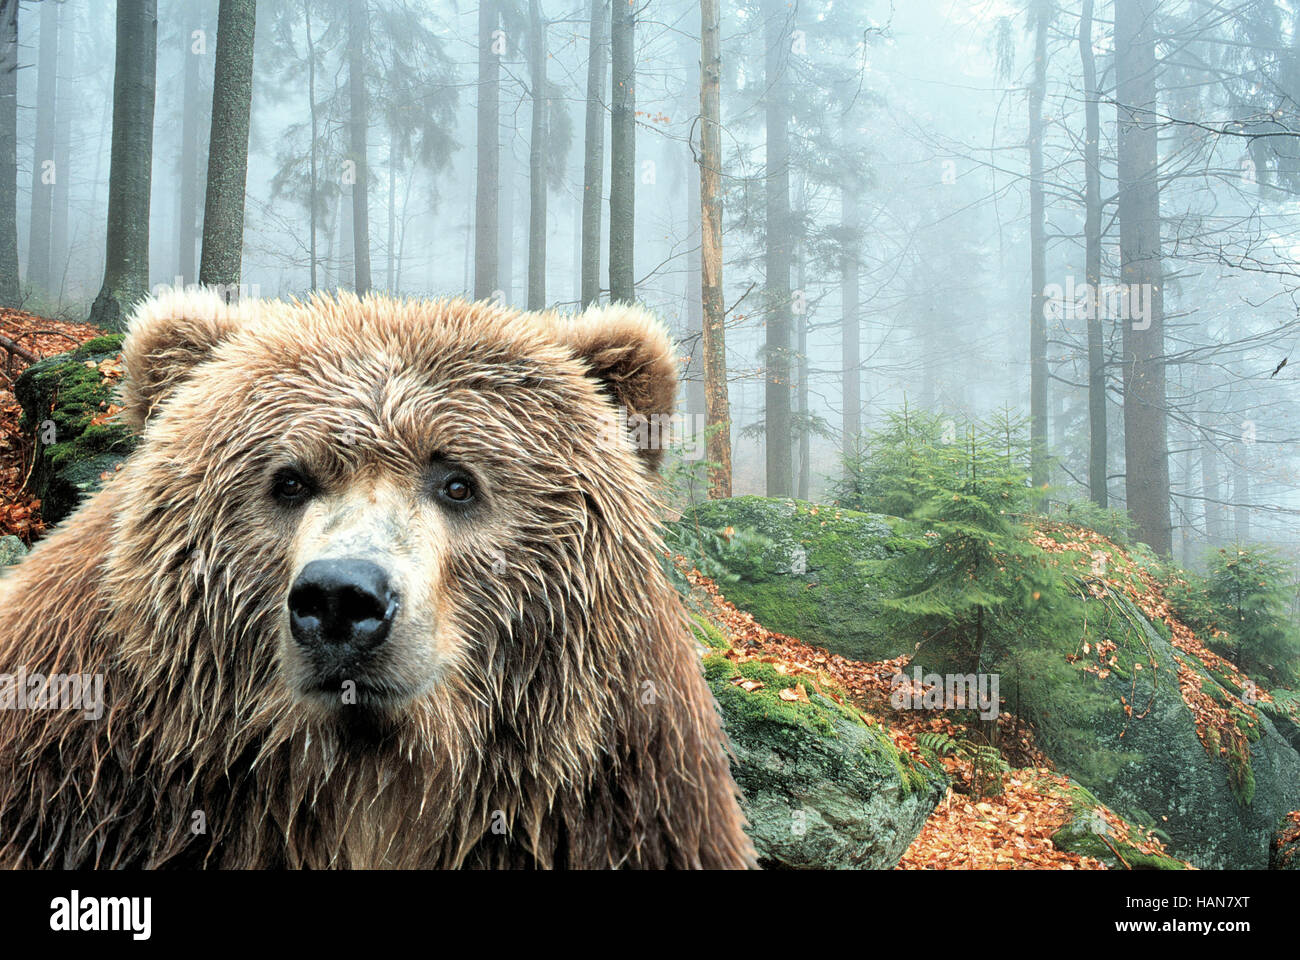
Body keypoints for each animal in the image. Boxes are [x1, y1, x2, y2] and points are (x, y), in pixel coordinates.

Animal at [0, 289, 756, 869]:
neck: (368, 785)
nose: (340, 598)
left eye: (458, 481)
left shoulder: (621, 803)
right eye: (289, 480)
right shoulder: (83, 784)